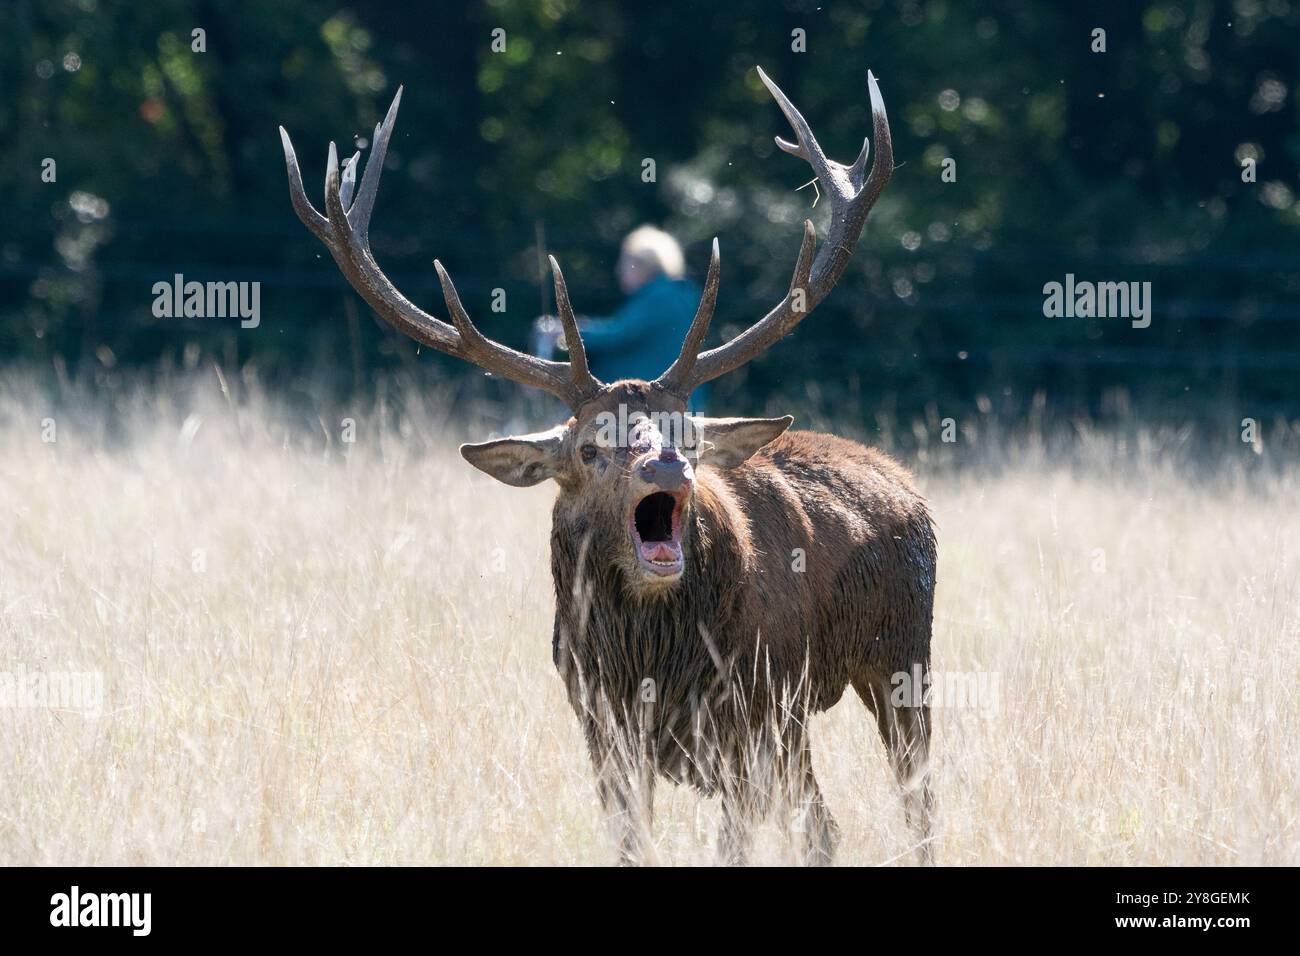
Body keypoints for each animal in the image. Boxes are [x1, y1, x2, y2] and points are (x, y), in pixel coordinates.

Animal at [279, 66, 936, 866]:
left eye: (687, 436)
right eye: (590, 449)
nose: (668, 470)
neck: (648, 664)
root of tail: (902, 480)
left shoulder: (746, 716)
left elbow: (735, 845)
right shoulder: (600, 724)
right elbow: (630, 841)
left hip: (898, 660)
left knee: (914, 802)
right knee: (823, 822)